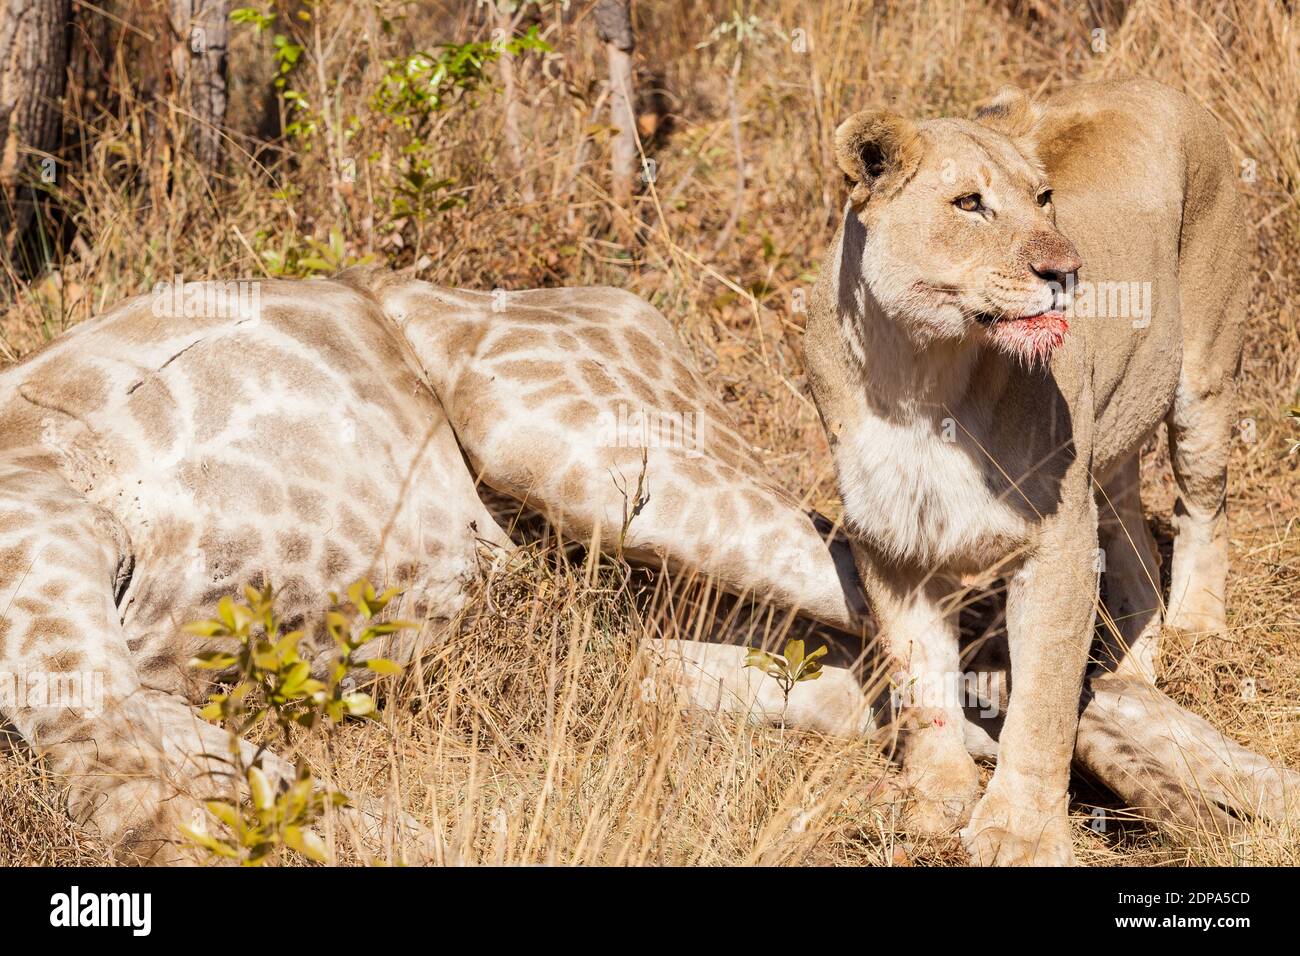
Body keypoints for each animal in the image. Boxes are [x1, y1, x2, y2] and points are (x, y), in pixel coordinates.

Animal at [0, 268, 1292, 863]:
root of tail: (635, 308)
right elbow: (196, 786)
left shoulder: (54, 557)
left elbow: (126, 781)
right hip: (604, 608)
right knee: (876, 665)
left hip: (578, 442)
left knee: (989, 627)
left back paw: (1220, 798)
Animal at [804, 78, 1246, 865]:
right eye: (968, 204)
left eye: (1043, 198)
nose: (1065, 271)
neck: (921, 375)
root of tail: (1157, 83)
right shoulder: (891, 543)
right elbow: (920, 679)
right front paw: (936, 799)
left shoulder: (1055, 542)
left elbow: (1041, 698)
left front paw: (1019, 830)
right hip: (1110, 438)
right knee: (1132, 546)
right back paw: (1133, 676)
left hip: (1204, 378)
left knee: (1202, 508)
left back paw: (1199, 631)